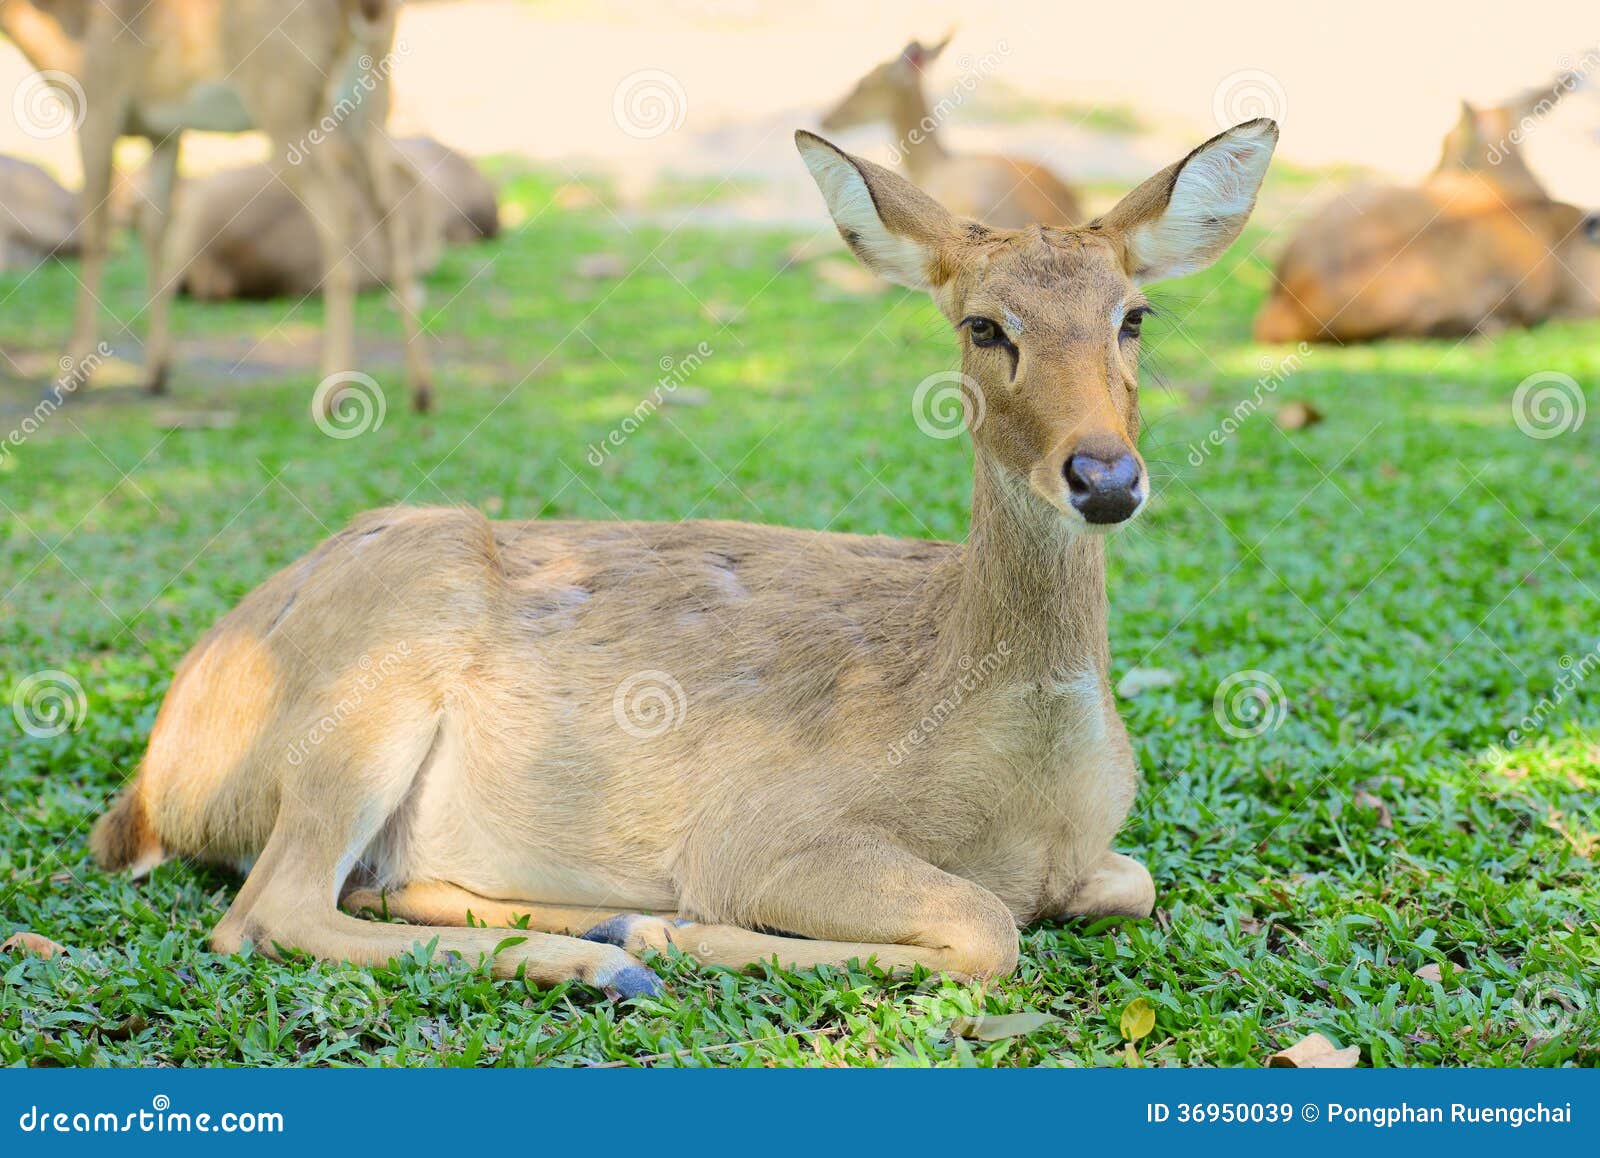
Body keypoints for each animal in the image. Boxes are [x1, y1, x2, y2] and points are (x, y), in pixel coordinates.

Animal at [0, 0, 435, 411]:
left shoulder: (98, 110)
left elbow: (96, 233)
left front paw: (69, 376)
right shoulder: (164, 132)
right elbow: (155, 229)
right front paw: (156, 374)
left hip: (291, 110)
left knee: (338, 211)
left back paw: (332, 393)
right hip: (369, 111)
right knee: (389, 213)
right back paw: (421, 393)